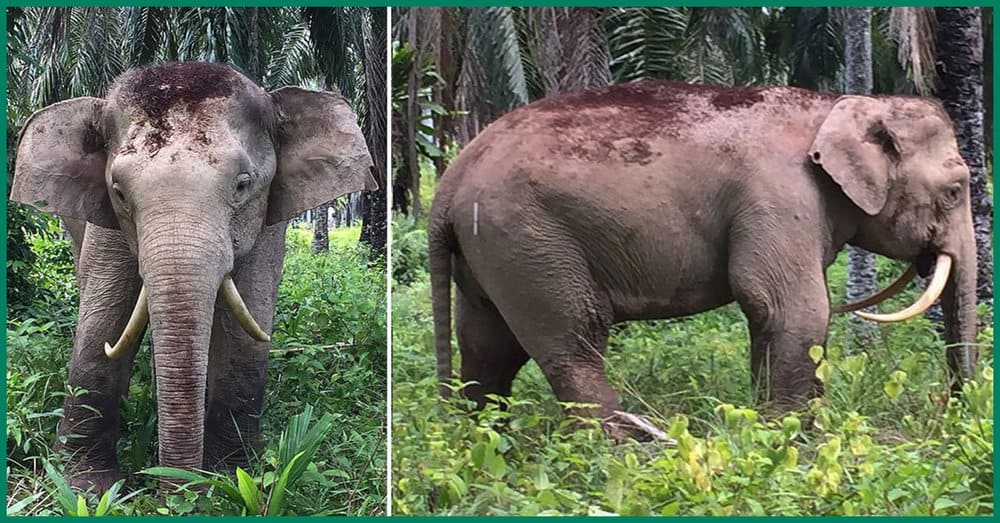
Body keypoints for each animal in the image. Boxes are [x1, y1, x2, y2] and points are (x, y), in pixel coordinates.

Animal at [10, 62, 376, 490]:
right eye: (119, 191)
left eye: (243, 184)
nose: (177, 489)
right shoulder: (106, 225)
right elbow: (102, 322)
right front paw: (88, 486)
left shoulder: (269, 218)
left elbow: (247, 321)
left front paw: (231, 478)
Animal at [427, 80, 979, 436]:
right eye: (955, 190)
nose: (951, 417)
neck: (842, 104)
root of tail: (452, 177)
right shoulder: (780, 196)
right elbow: (790, 308)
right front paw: (789, 440)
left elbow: (772, 315)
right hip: (530, 239)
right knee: (573, 341)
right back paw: (627, 448)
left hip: (491, 250)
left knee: (488, 346)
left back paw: (484, 445)